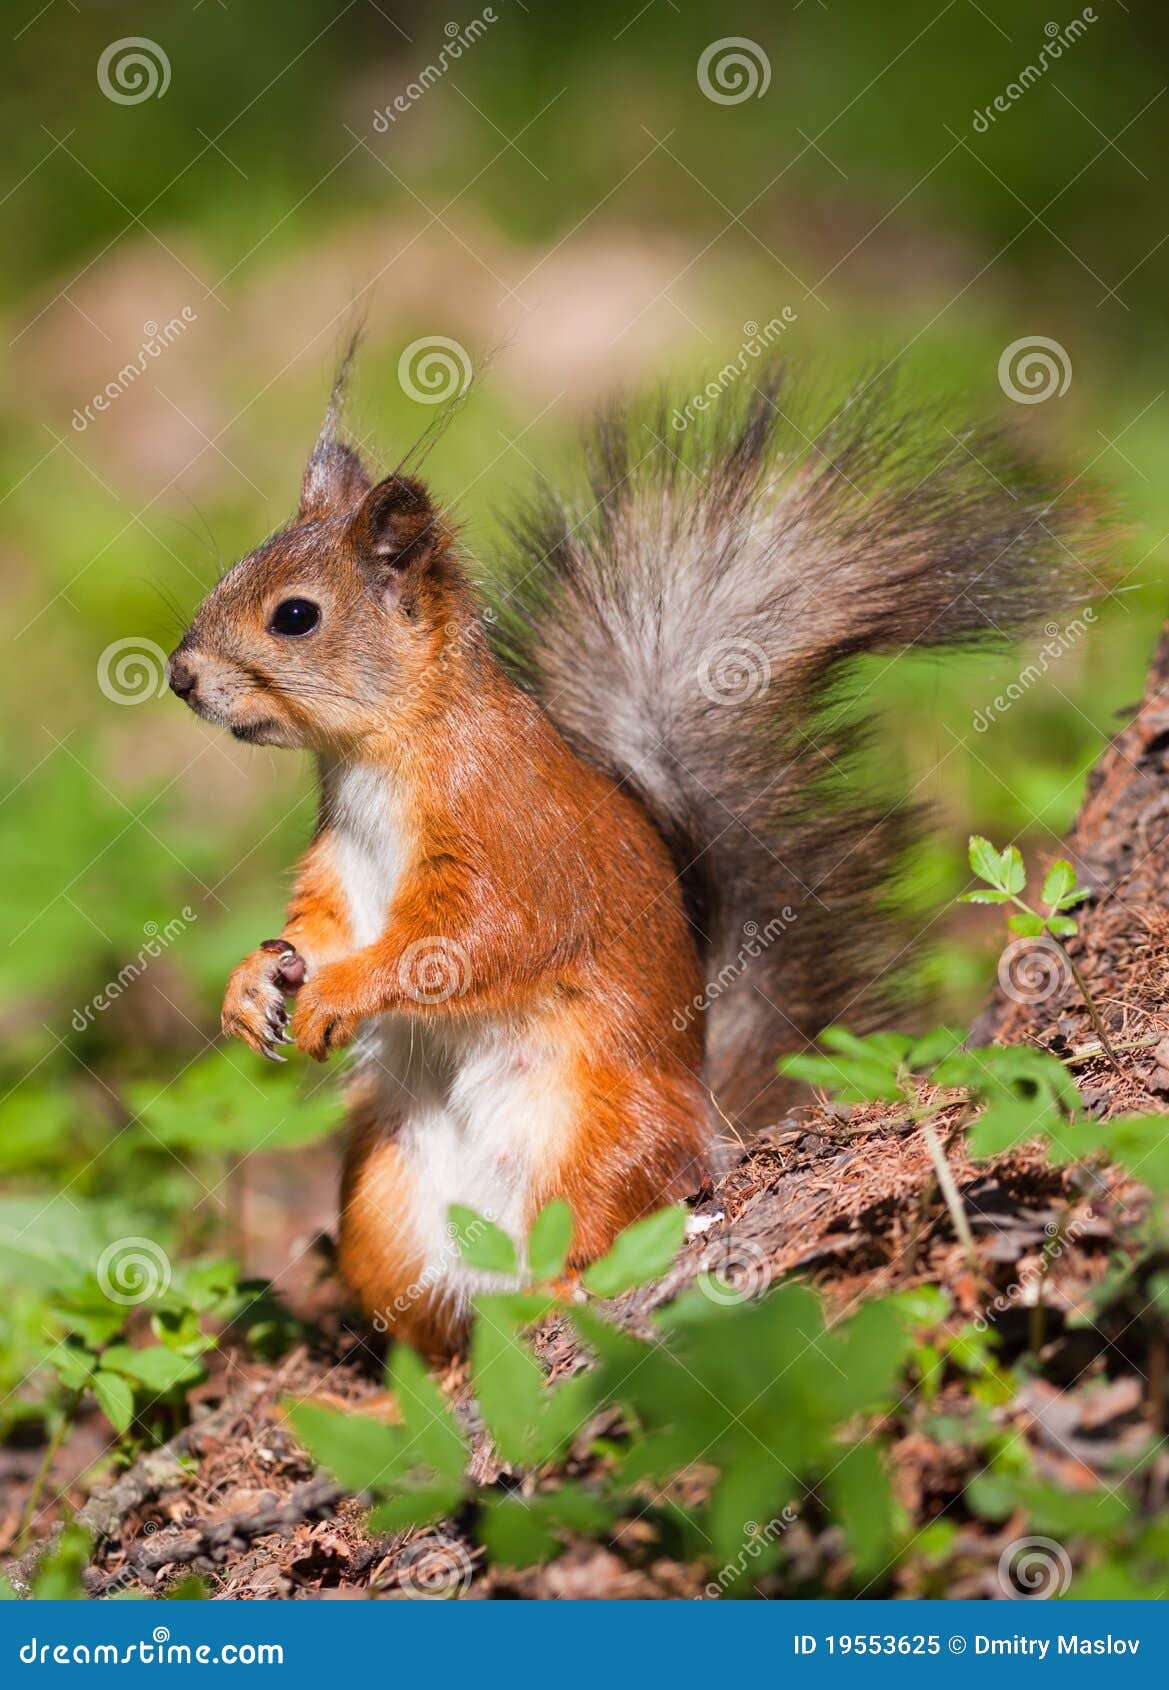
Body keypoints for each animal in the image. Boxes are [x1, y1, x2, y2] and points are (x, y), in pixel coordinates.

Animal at [167, 350, 1096, 1355]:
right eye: (232, 569)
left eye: (295, 617)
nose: (177, 677)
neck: (379, 758)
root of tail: (709, 1127)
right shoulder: (338, 862)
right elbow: (320, 925)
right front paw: (253, 984)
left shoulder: (510, 842)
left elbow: (464, 944)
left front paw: (338, 992)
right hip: (384, 1196)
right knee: (438, 1324)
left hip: (595, 1145)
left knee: (601, 1241)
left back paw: (565, 1291)